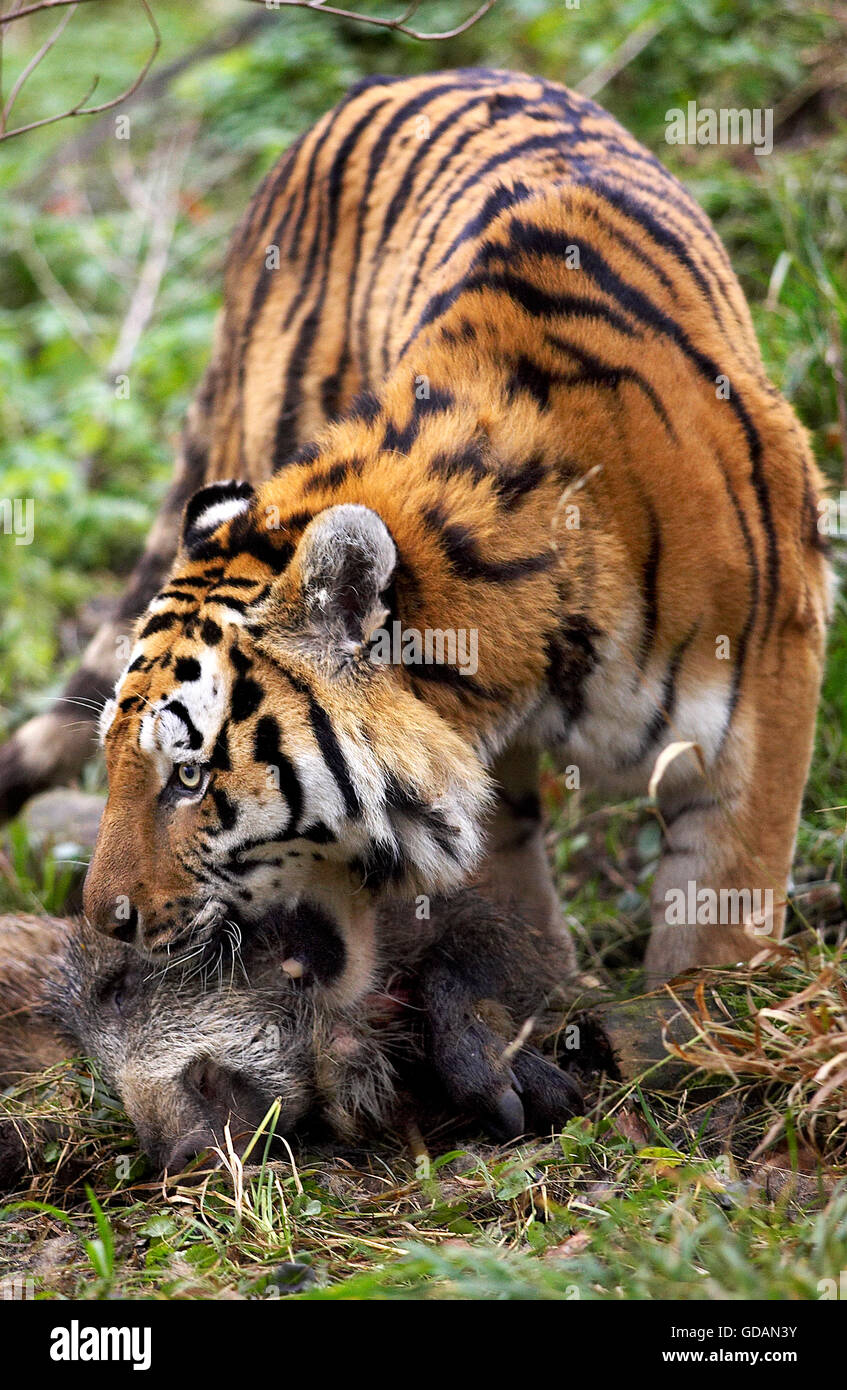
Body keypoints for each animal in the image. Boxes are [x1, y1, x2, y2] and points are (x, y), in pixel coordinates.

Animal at [2, 68, 831, 1004]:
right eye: (112, 758)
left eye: (189, 776)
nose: (105, 923)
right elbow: (499, 885)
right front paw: (525, 1004)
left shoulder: (772, 673)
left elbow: (722, 906)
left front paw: (707, 1012)